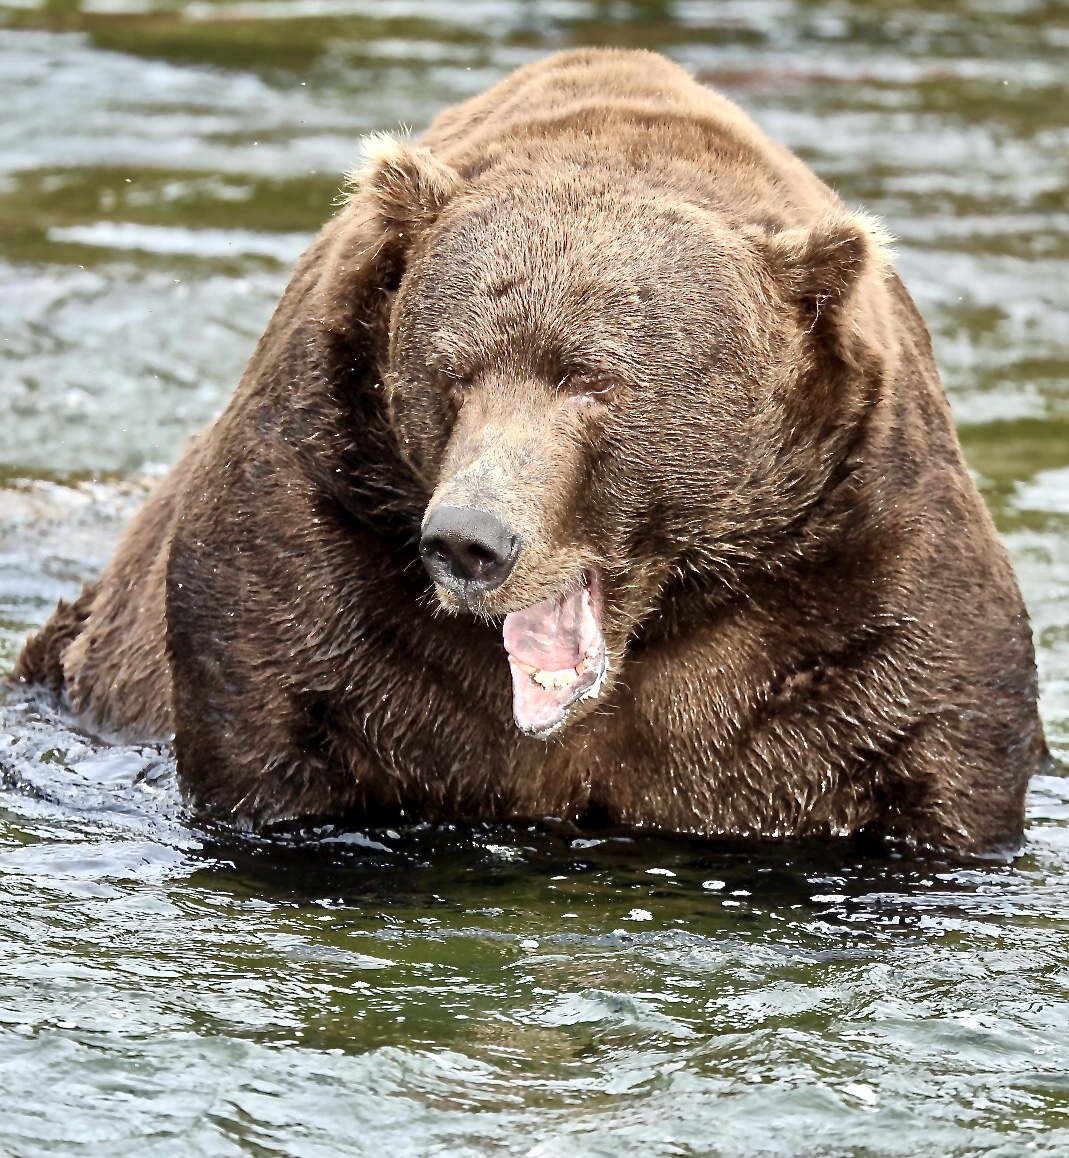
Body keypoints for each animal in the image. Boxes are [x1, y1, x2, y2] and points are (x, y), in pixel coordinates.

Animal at [13, 47, 1047, 853]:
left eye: (595, 380)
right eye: (451, 370)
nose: (469, 539)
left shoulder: (859, 578)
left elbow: (928, 740)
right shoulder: (312, 531)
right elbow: (277, 725)